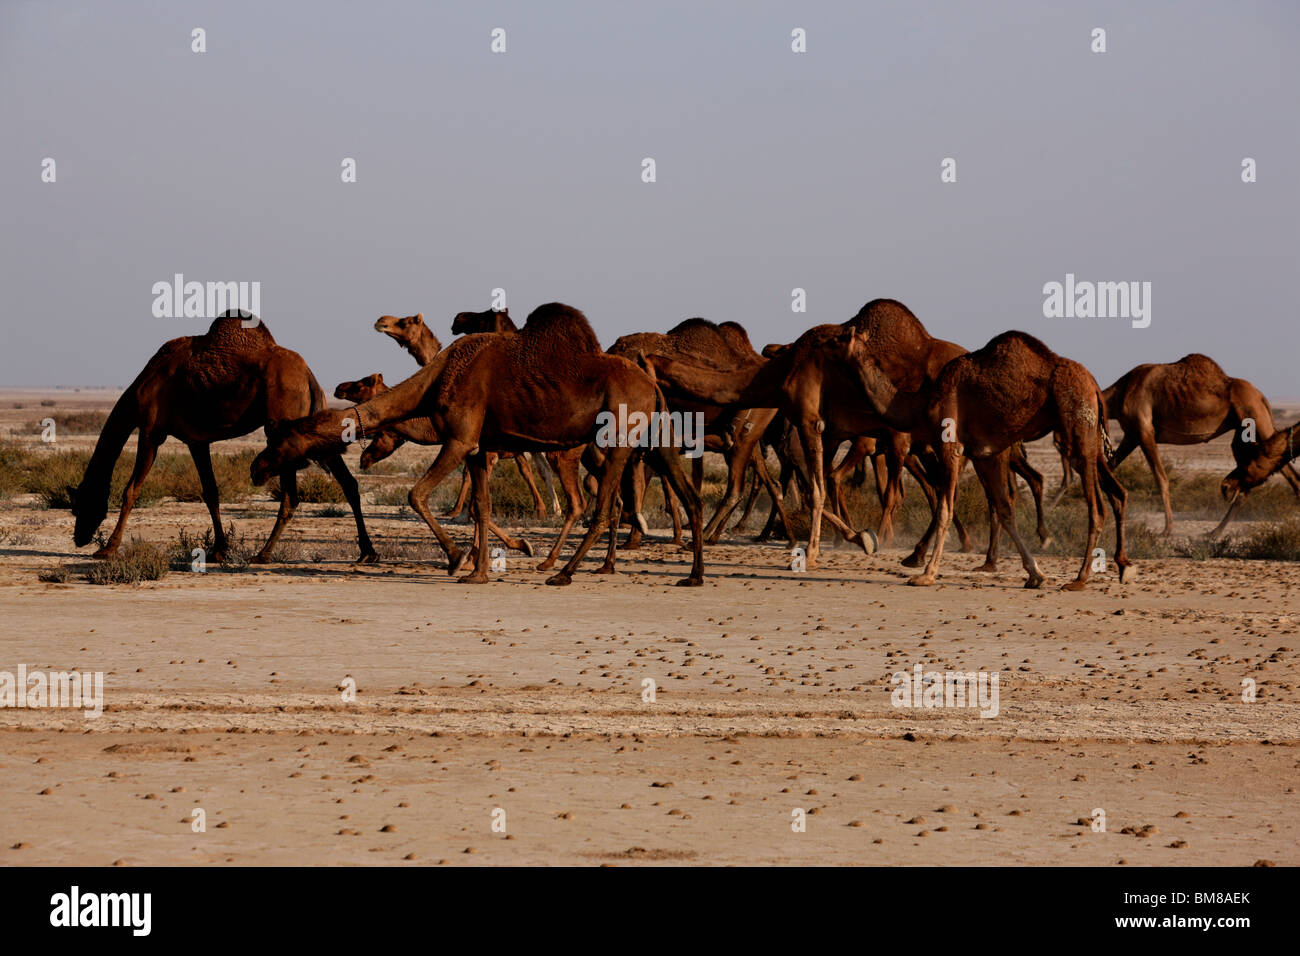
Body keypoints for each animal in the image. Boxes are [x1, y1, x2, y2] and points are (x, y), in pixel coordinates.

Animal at [72, 313, 376, 563]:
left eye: (79, 505)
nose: (79, 538)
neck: (141, 388)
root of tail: (309, 377)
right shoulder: (196, 441)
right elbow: (211, 492)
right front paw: (219, 550)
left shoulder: (151, 431)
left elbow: (131, 489)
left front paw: (108, 549)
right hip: (312, 427)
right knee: (348, 483)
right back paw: (367, 552)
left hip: (285, 430)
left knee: (291, 495)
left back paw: (262, 554)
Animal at [252, 303, 704, 586]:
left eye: (281, 438)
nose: (257, 467)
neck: (438, 377)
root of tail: (649, 382)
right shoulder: (479, 448)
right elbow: (481, 507)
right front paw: (479, 571)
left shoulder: (460, 438)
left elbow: (417, 496)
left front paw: (457, 559)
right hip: (655, 435)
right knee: (686, 496)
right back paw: (690, 575)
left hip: (616, 437)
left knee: (601, 505)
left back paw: (562, 571)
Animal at [843, 328, 1133, 590]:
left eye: (840, 339)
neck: (922, 403)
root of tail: (1094, 385)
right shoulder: (984, 455)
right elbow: (1005, 509)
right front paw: (1035, 574)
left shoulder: (949, 444)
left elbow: (945, 507)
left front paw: (926, 574)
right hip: (1087, 436)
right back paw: (1112, 568)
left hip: (1077, 425)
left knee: (1097, 507)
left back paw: (1080, 579)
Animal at [1098, 354, 1300, 536]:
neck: (1119, 393)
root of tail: (1261, 396)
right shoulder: (1131, 435)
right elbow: (1108, 469)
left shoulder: (1144, 430)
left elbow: (1161, 478)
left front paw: (1167, 530)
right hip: (1244, 431)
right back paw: (1214, 533)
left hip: (1258, 420)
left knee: (1290, 474)